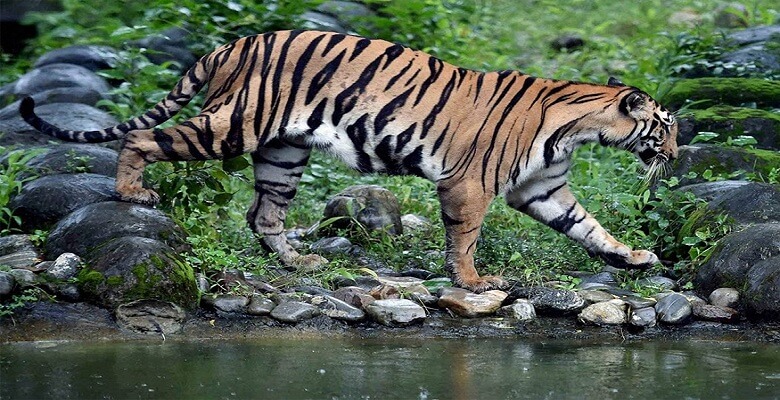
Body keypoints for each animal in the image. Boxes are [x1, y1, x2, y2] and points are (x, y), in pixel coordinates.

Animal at [20, 30, 678, 293]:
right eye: (666, 126)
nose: (674, 157)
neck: (579, 129)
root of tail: (231, 44)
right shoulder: (470, 184)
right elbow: (465, 236)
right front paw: (472, 281)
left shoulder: (542, 188)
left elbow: (589, 228)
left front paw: (634, 258)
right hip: (234, 124)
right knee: (142, 140)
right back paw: (133, 194)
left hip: (283, 151)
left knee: (264, 215)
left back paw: (299, 262)